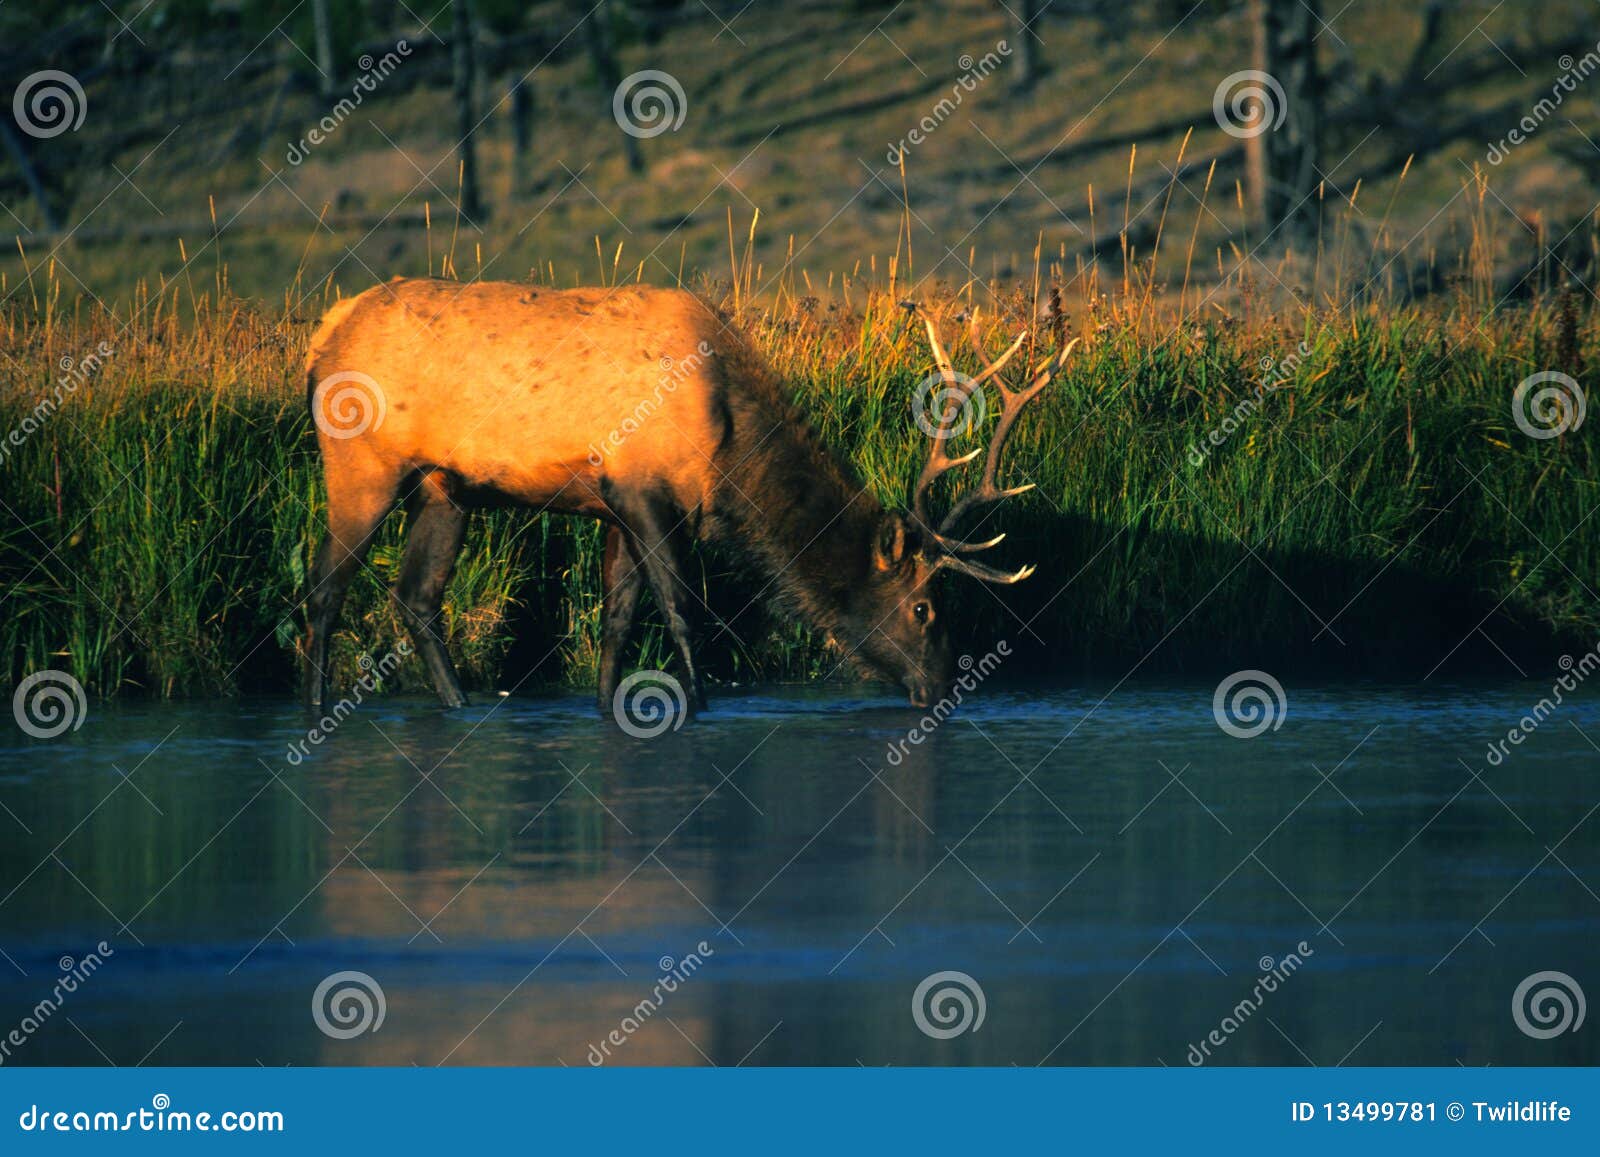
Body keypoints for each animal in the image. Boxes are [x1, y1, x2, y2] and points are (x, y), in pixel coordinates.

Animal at [299, 276, 1075, 722]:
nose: (943, 687)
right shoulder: (644, 490)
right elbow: (680, 608)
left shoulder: (609, 504)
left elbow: (616, 620)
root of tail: (323, 334)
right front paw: (696, 706)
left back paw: (457, 703)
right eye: (924, 608)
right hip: (361, 463)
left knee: (415, 597)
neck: (728, 443)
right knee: (324, 588)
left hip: (445, 488)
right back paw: (314, 712)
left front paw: (607, 709)